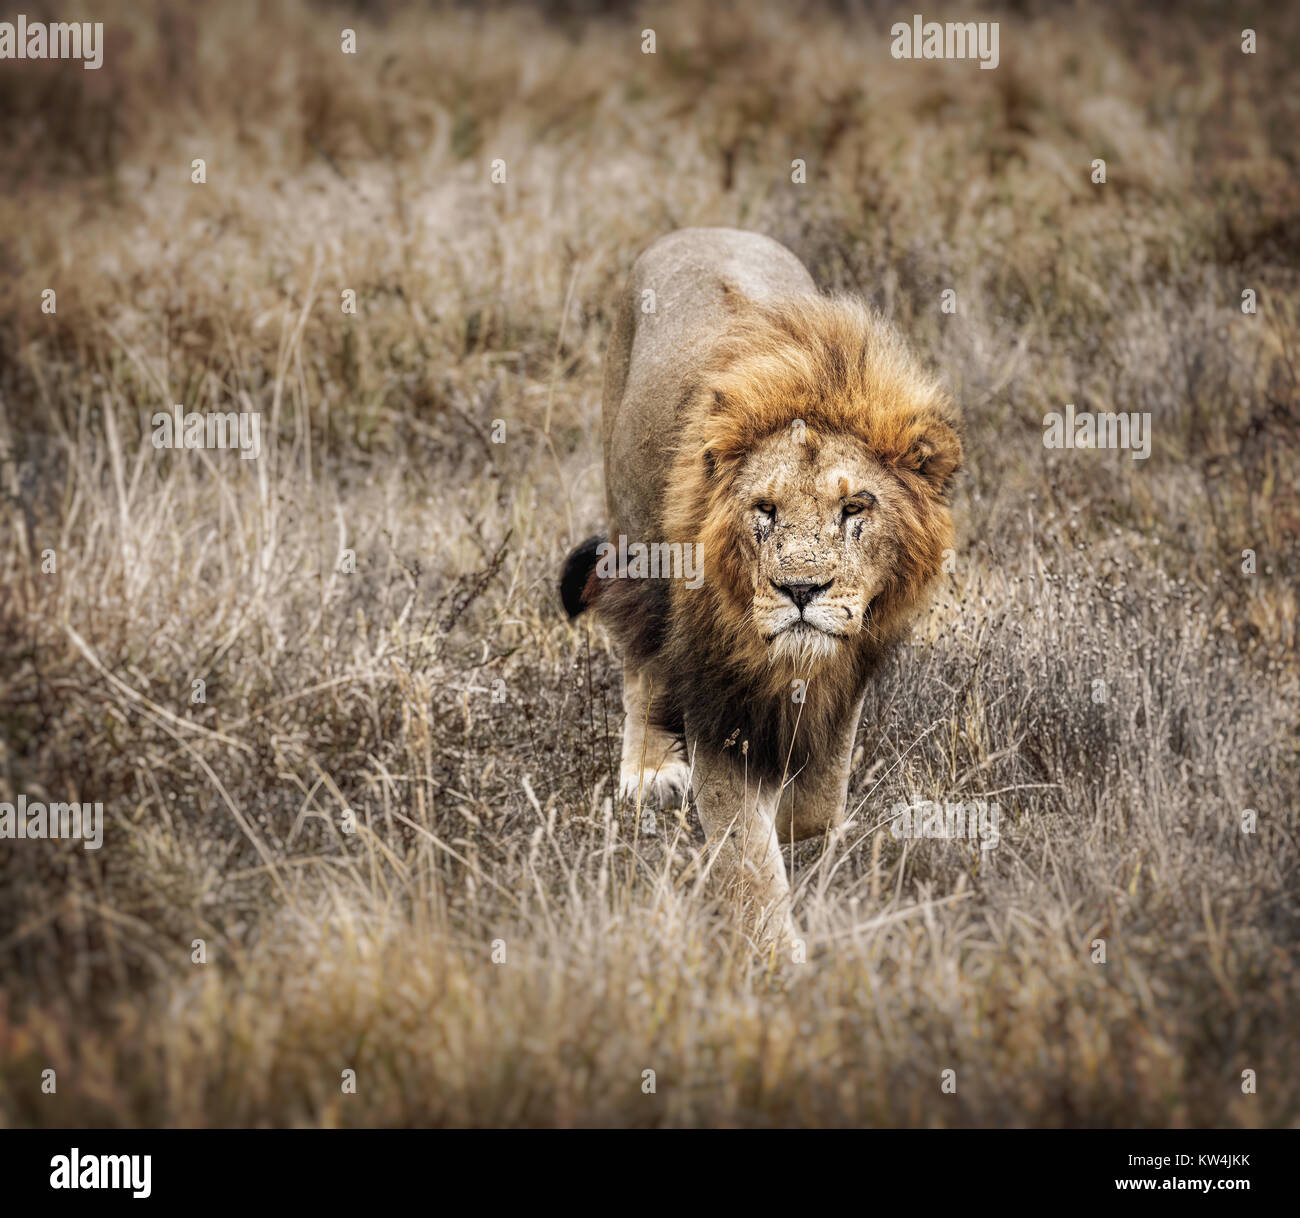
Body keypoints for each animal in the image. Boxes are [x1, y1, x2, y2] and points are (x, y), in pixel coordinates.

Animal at [560, 228, 961, 950]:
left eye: (854, 508)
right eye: (764, 510)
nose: (800, 589)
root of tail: (700, 230)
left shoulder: (849, 672)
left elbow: (816, 801)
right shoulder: (715, 696)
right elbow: (745, 851)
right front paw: (775, 959)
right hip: (631, 524)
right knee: (640, 660)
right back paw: (649, 771)